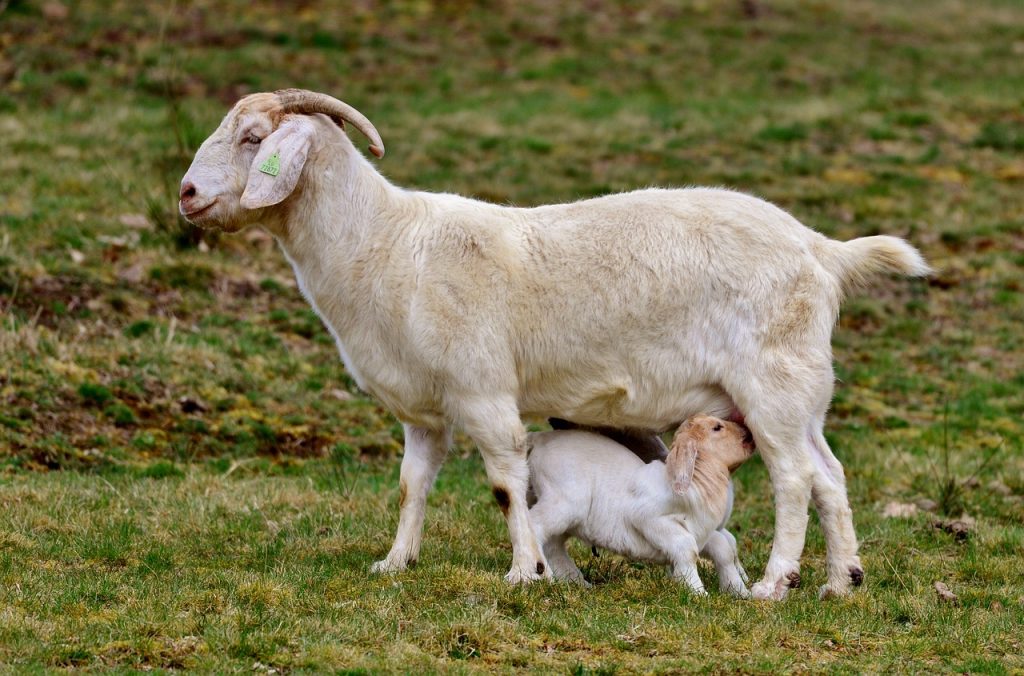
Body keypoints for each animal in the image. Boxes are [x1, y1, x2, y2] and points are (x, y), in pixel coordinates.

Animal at [528, 415, 754, 597]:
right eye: (717, 427)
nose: (748, 432)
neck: (696, 484)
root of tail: (537, 440)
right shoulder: (649, 518)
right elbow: (686, 547)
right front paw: (697, 591)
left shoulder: (702, 532)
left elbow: (724, 548)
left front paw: (740, 591)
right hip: (563, 501)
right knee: (534, 527)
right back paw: (540, 576)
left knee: (553, 544)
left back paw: (577, 582)